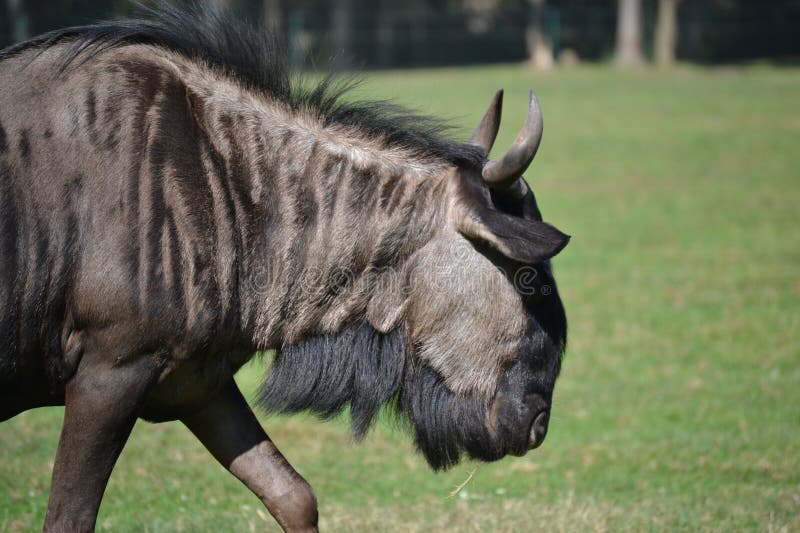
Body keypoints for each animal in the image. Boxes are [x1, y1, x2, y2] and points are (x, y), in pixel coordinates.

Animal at [0, 3, 569, 532]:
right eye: (528, 278)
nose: (539, 424)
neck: (221, 182)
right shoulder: (107, 376)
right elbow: (70, 518)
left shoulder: (195, 385)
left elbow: (293, 495)